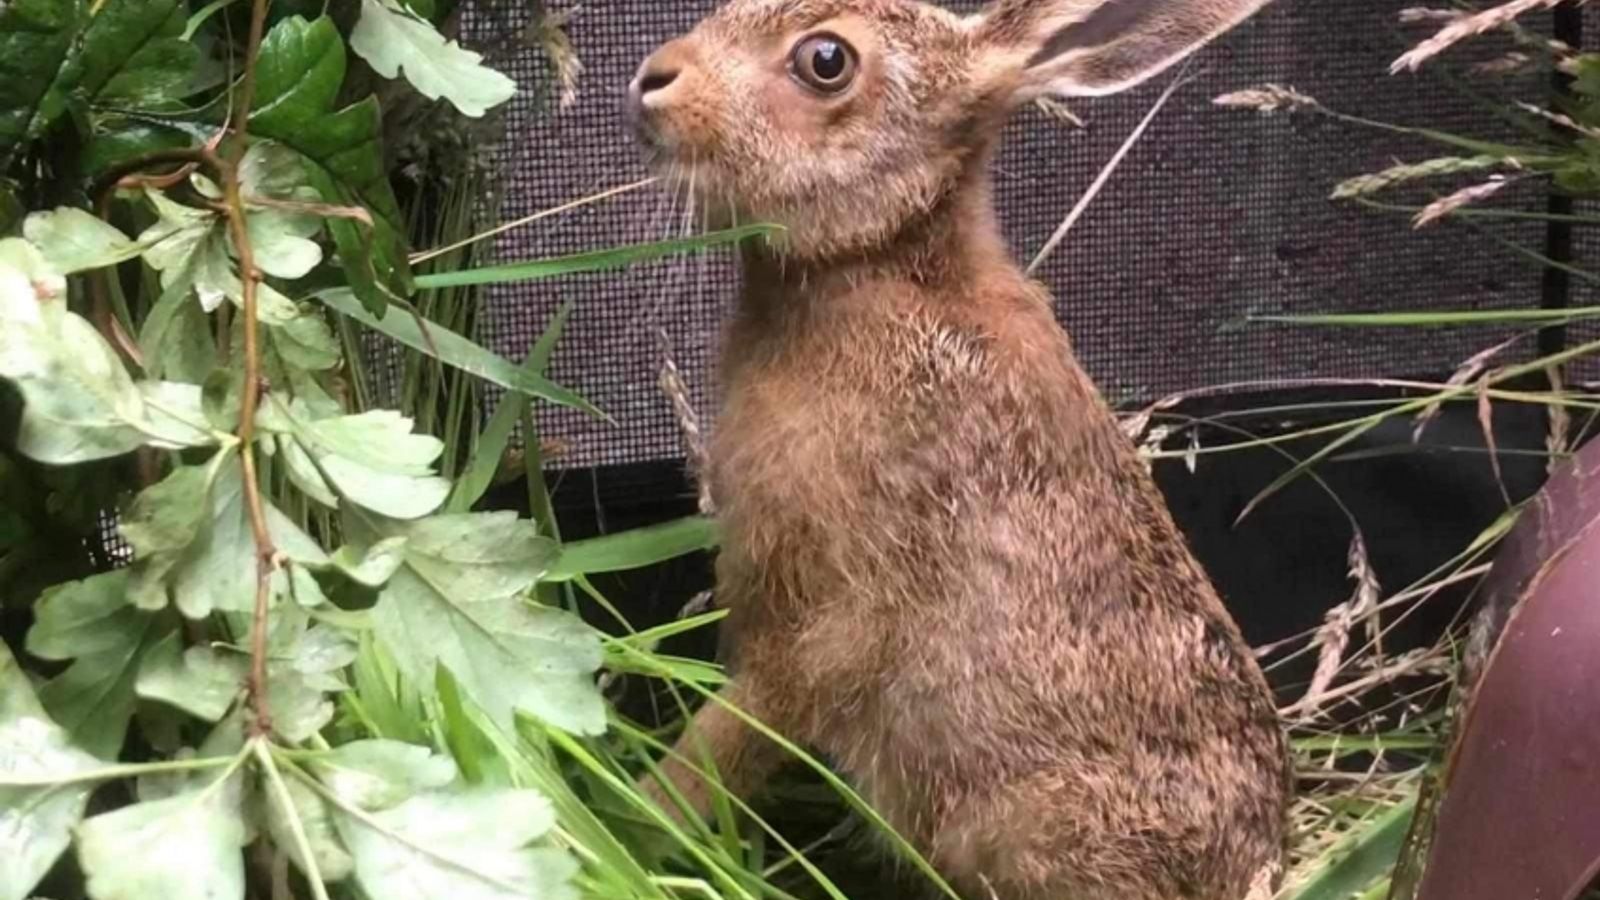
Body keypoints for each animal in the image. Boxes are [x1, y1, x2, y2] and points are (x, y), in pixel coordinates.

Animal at [625, 1, 1290, 898]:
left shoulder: (816, 618)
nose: (656, 78)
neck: (888, 260)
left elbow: (731, 740)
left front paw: (631, 817)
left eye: (825, 61)